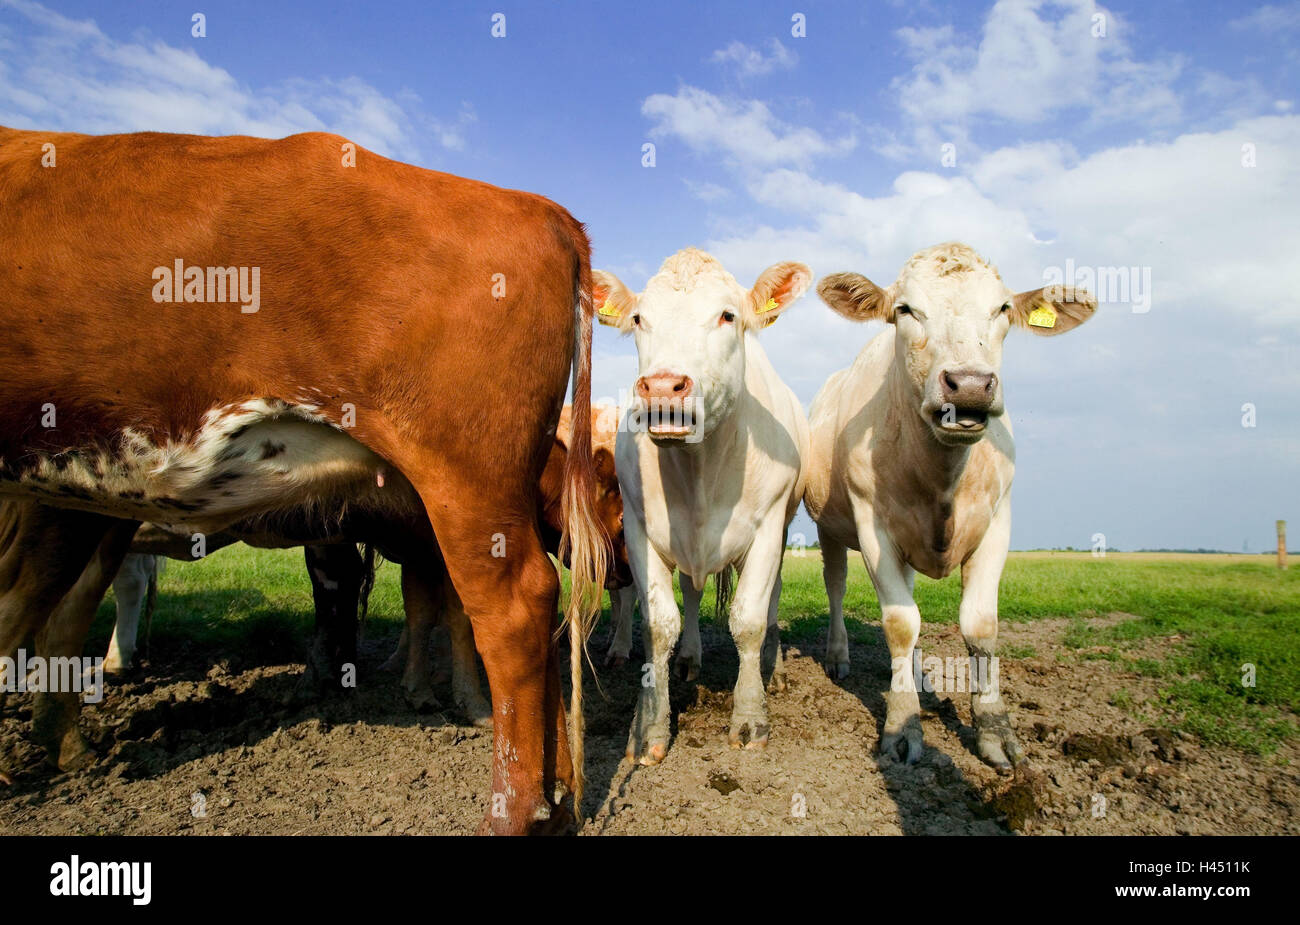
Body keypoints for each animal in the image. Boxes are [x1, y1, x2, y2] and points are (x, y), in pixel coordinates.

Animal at [594, 249, 811, 764]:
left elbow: (749, 620)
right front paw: (650, 725)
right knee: (691, 596)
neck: (698, 470)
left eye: (727, 315)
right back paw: (689, 658)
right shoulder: (638, 527)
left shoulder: (769, 526)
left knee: (771, 601)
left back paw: (774, 669)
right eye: (639, 318)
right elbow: (658, 624)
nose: (662, 387)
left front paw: (750, 718)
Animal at [804, 242, 1096, 770]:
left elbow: (980, 626)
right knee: (836, 585)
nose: (971, 384)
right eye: (905, 309)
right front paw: (902, 725)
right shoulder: (873, 527)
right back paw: (839, 656)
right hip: (829, 528)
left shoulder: (998, 521)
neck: (940, 476)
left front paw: (994, 729)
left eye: (1002, 308)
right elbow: (900, 624)